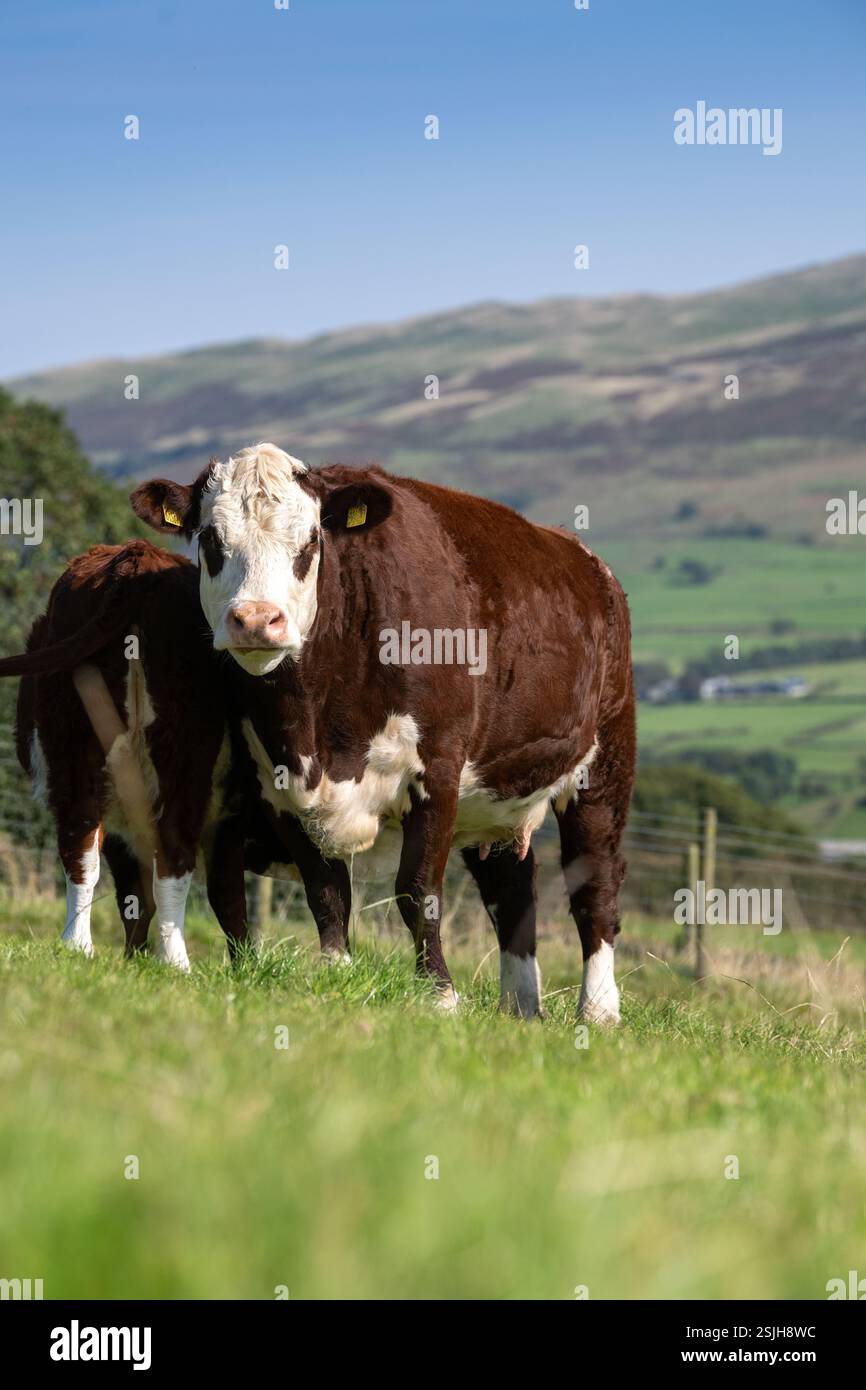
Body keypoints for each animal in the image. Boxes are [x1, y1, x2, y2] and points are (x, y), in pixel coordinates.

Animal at [0, 540, 352, 966]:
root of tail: (140, 556)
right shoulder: (226, 821)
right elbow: (228, 900)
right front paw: (244, 965)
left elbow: (137, 897)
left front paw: (133, 959)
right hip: (183, 756)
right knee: (171, 854)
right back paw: (175, 961)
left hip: (76, 746)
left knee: (81, 842)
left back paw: (79, 946)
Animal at [131, 443, 636, 1022]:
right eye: (211, 541)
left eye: (310, 541)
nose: (257, 620)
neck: (317, 726)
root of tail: (588, 562)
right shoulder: (281, 783)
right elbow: (326, 893)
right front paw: (336, 974)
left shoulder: (437, 770)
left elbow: (417, 890)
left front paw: (440, 993)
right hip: (495, 797)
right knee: (511, 892)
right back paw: (521, 1007)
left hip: (604, 762)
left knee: (596, 885)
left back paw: (598, 1009)